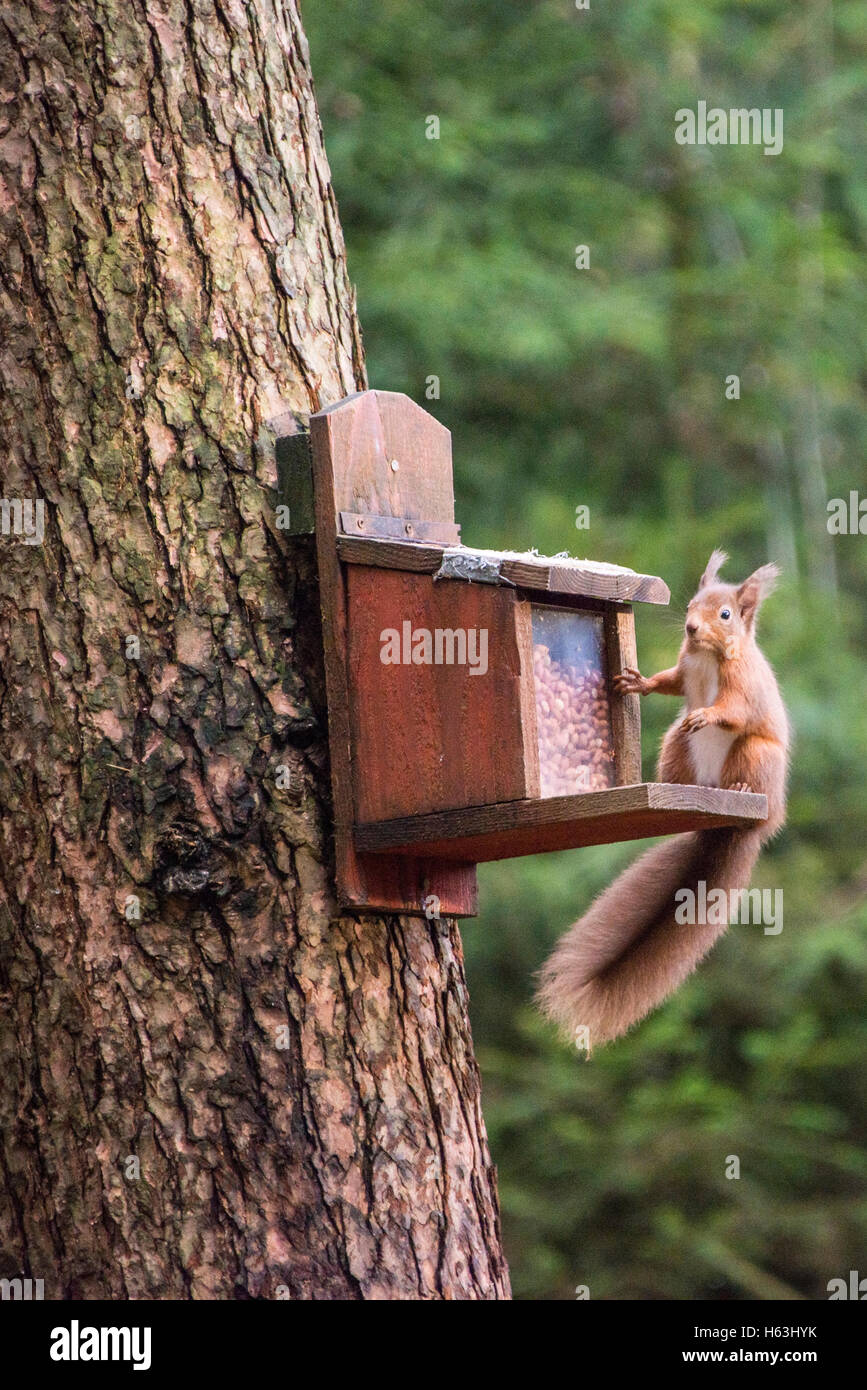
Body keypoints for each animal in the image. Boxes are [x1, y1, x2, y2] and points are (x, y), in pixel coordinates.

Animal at [537, 549, 789, 1048]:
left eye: (725, 614)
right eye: (690, 604)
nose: (690, 628)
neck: (709, 656)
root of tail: (742, 826)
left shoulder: (742, 686)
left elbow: (732, 709)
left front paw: (707, 714)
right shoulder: (685, 669)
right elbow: (671, 682)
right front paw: (638, 683)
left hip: (757, 756)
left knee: (749, 766)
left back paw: (742, 790)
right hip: (675, 744)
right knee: (679, 743)